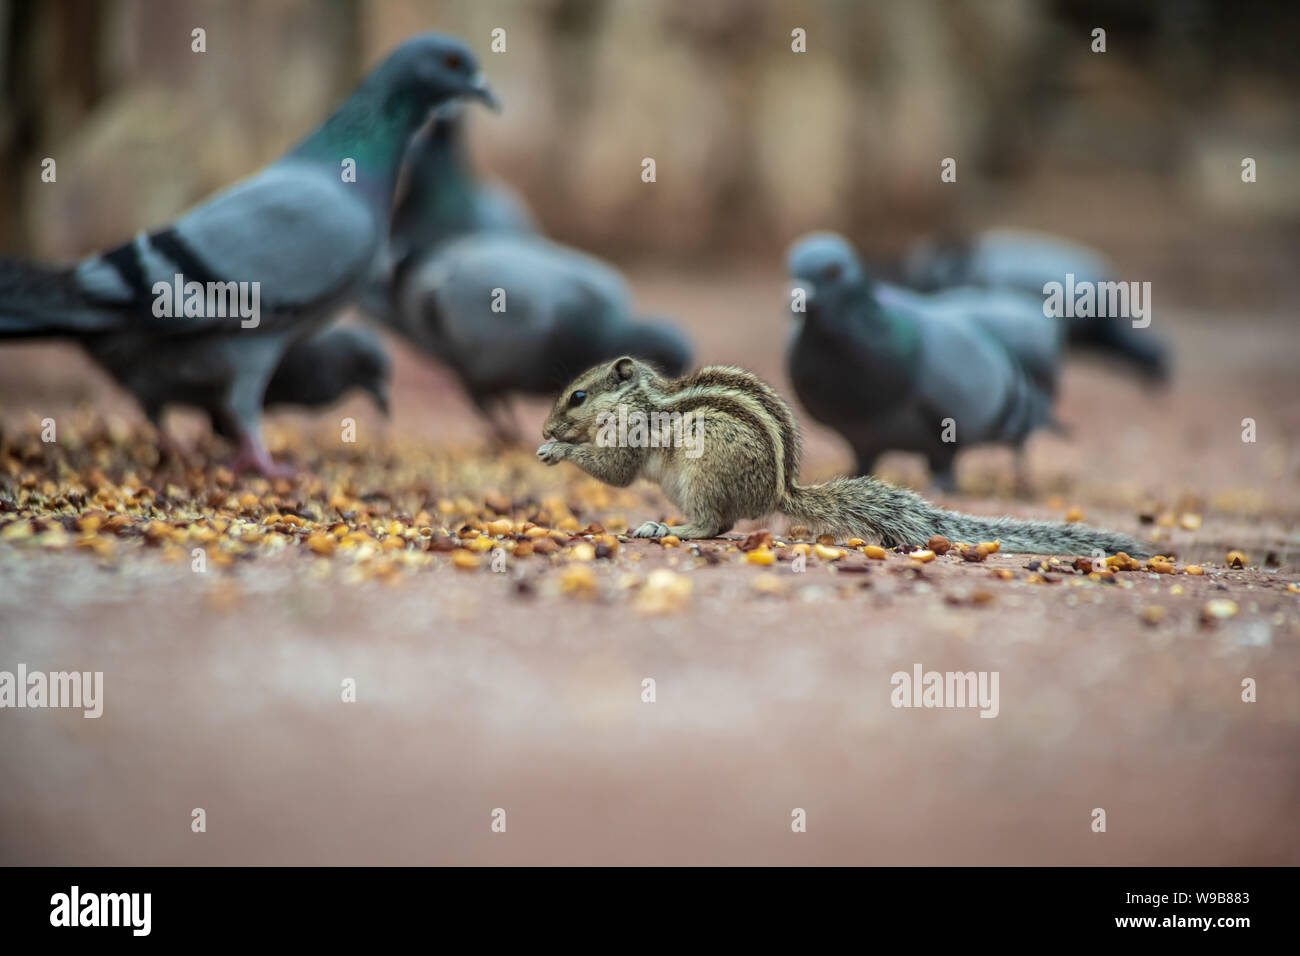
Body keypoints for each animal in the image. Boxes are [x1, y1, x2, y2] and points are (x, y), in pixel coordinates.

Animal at [537, 356, 1150, 557]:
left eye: (578, 396)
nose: (543, 425)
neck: (639, 397)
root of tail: (779, 490)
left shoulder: (631, 435)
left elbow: (615, 471)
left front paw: (558, 447)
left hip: (704, 473)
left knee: (716, 524)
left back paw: (668, 529)